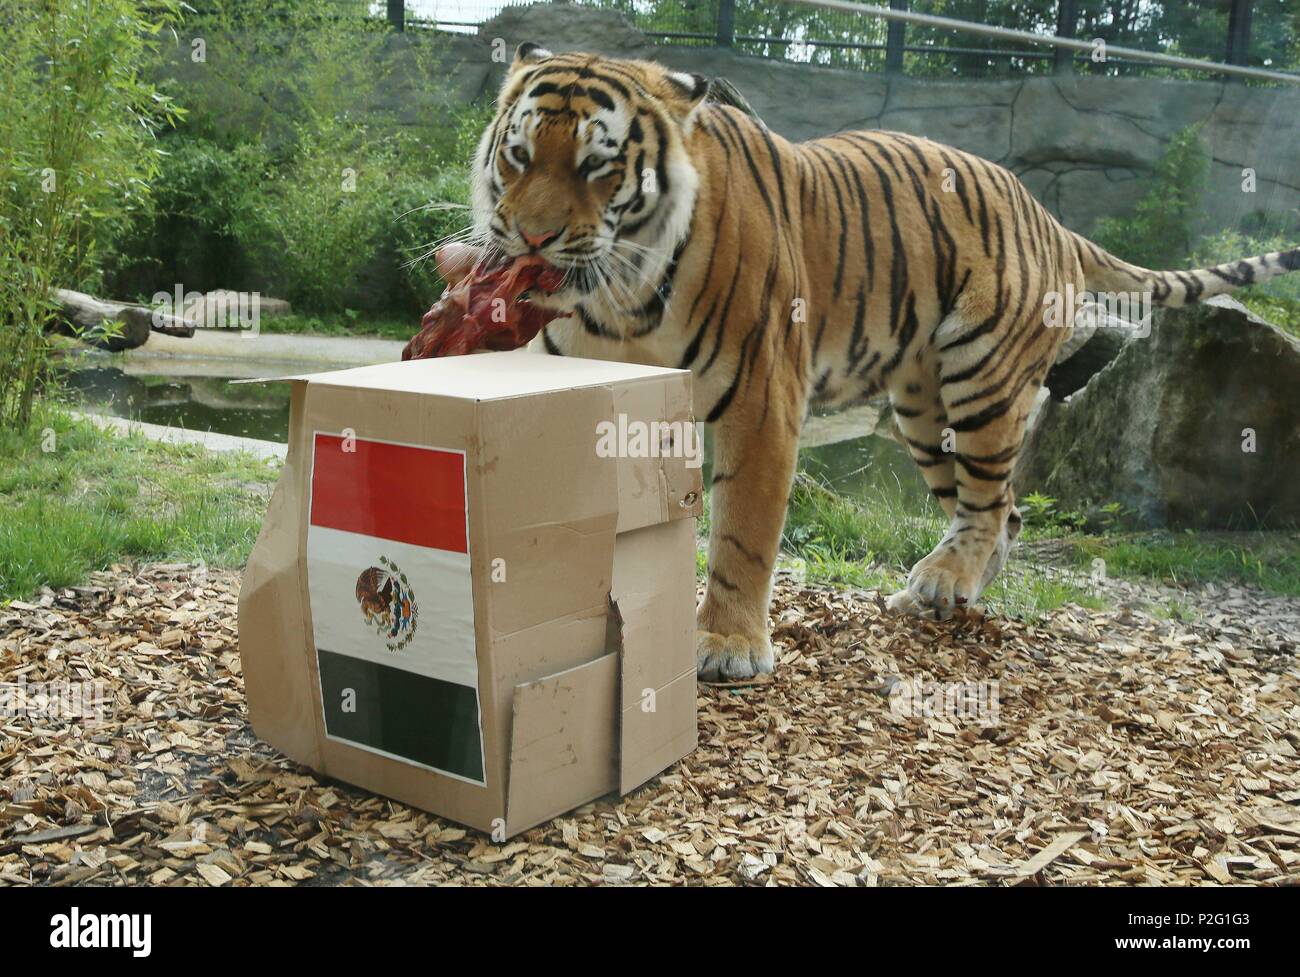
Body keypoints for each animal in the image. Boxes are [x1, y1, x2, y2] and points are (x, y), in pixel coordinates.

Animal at [466, 43, 1300, 682]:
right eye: (518, 156)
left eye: (597, 167)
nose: (530, 238)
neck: (621, 296)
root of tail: (1052, 219)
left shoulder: (762, 401)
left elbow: (741, 533)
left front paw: (727, 645)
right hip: (925, 412)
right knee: (1003, 511)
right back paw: (944, 596)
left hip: (982, 381)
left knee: (991, 502)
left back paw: (942, 581)